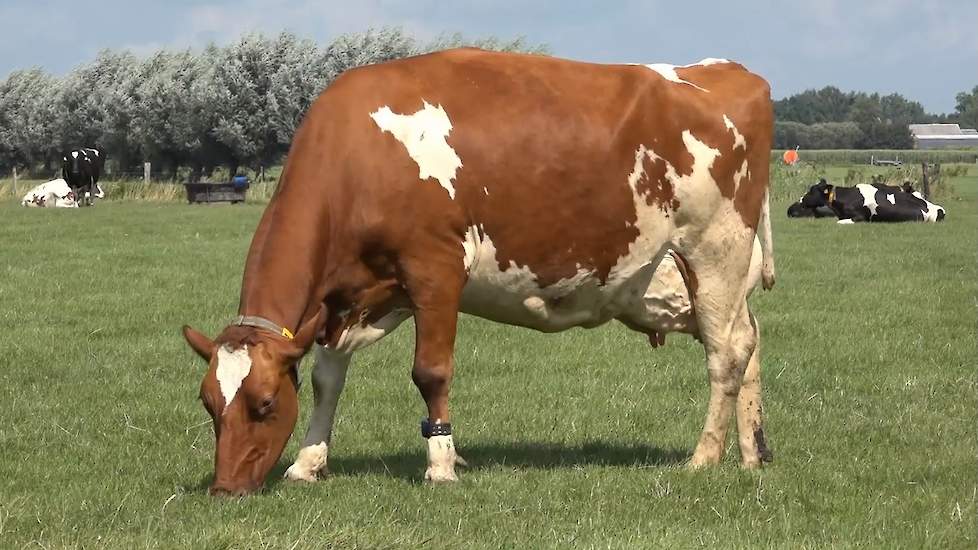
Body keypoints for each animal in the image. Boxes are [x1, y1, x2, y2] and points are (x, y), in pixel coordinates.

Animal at [181, 48, 776, 496]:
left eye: (262, 404)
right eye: (209, 405)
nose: (224, 488)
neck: (359, 157)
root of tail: (726, 70)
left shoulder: (435, 270)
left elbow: (431, 373)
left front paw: (441, 463)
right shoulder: (359, 294)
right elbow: (329, 376)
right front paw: (308, 462)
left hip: (715, 252)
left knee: (725, 354)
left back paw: (704, 457)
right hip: (696, 281)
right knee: (747, 341)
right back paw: (752, 452)